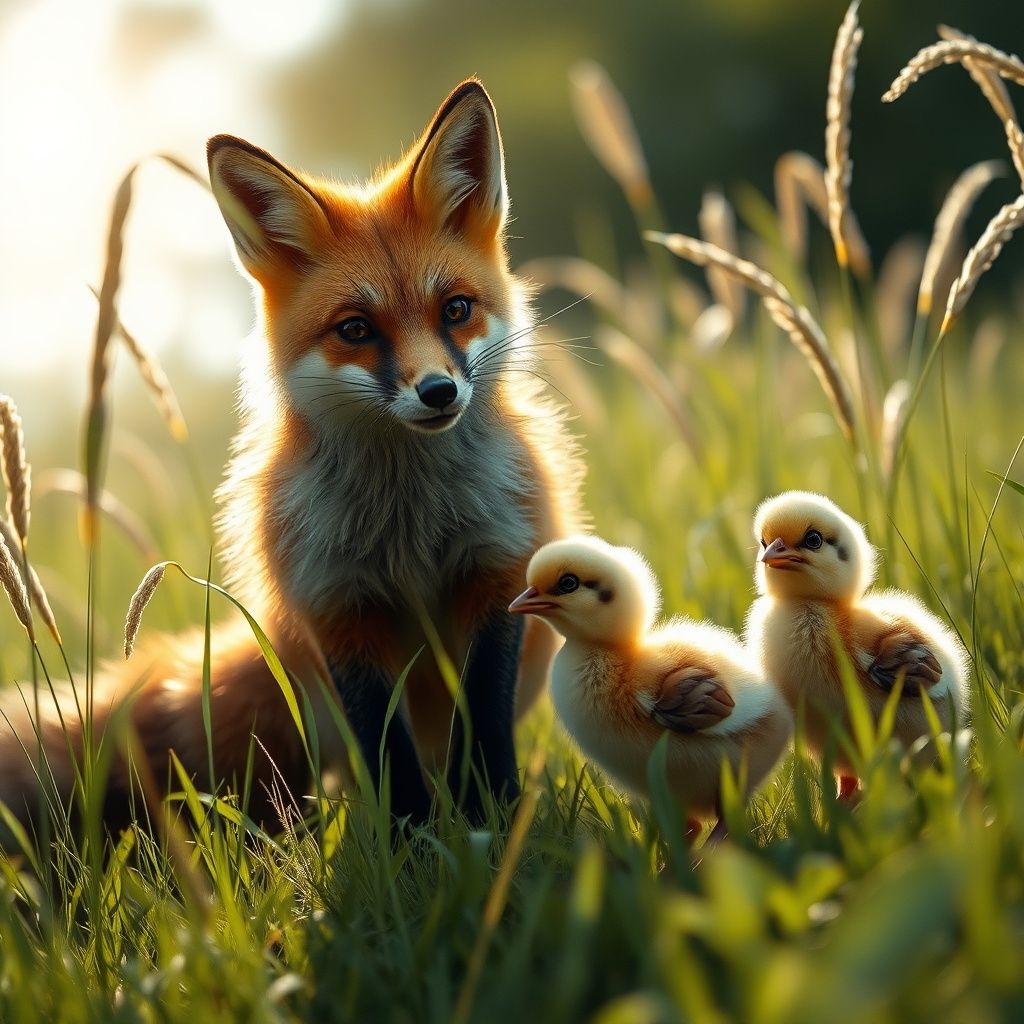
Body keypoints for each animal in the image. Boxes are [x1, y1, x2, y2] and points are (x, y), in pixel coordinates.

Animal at [0, 80, 584, 831]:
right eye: (356, 330)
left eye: (455, 310)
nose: (438, 391)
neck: (409, 524)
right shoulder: (338, 608)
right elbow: (386, 752)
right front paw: (412, 841)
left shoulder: (496, 574)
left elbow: (483, 732)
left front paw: (493, 825)